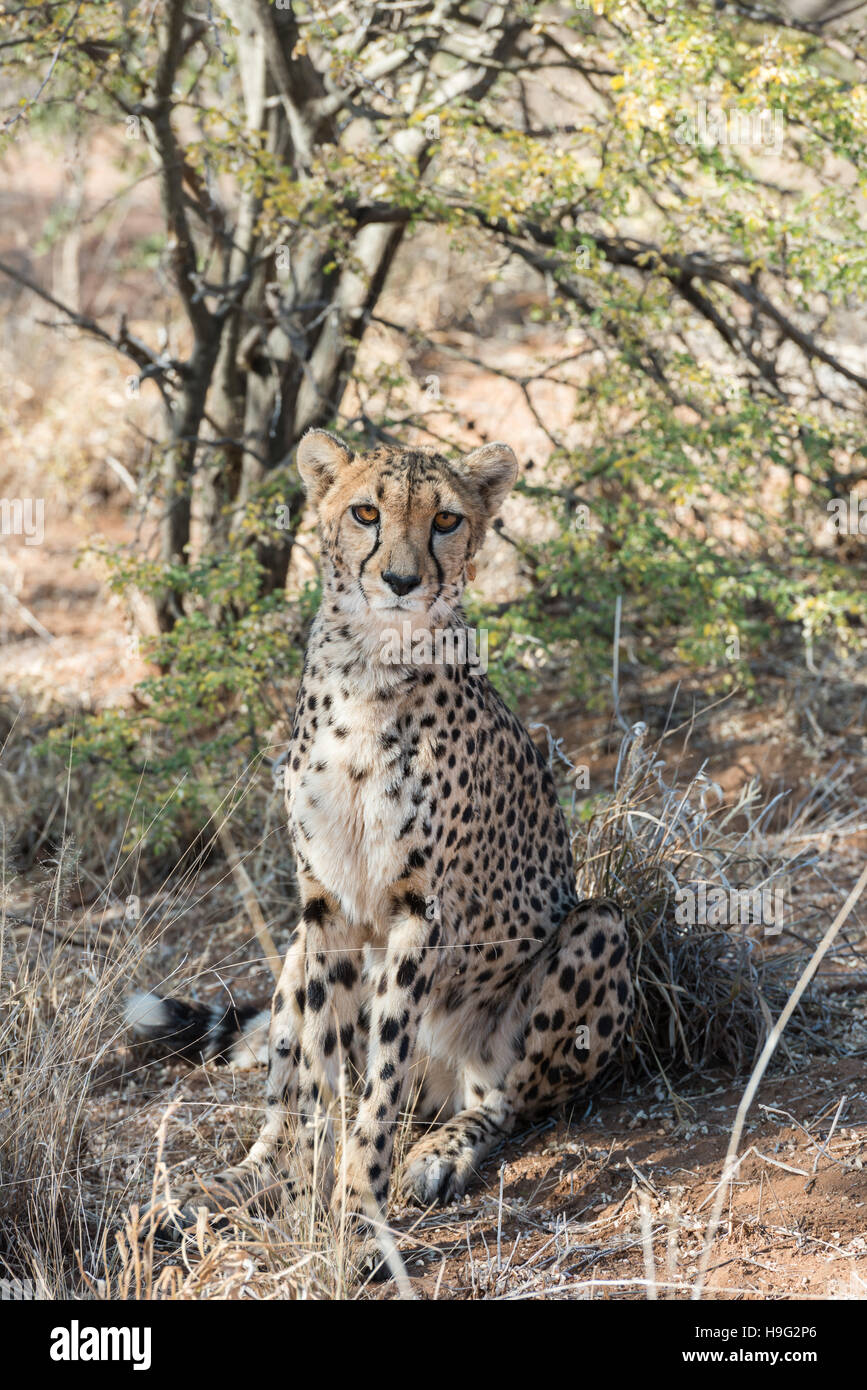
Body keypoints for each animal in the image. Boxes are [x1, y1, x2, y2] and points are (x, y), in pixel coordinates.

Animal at [131, 429, 633, 1270]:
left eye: (446, 520)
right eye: (366, 512)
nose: (399, 580)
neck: (368, 669)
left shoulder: (418, 912)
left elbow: (378, 1084)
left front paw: (359, 1221)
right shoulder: (324, 907)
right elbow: (314, 1083)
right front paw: (305, 1205)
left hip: (596, 932)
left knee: (501, 1097)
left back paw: (440, 1152)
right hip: (292, 949)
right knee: (278, 1104)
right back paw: (215, 1193)